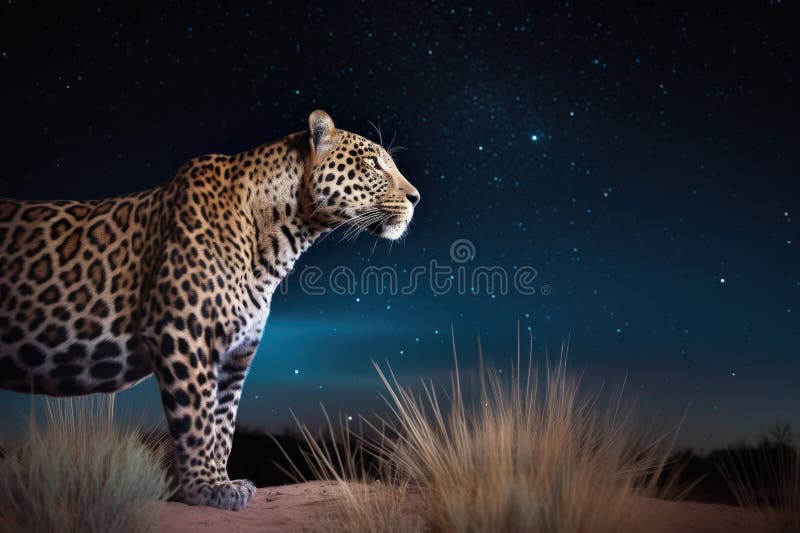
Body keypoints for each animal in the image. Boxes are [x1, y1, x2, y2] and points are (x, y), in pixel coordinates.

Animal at [0, 110, 420, 510]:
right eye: (372, 163)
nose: (416, 198)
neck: (279, 241)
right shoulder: (182, 333)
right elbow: (197, 418)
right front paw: (205, 489)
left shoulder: (235, 356)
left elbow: (223, 424)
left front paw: (221, 482)